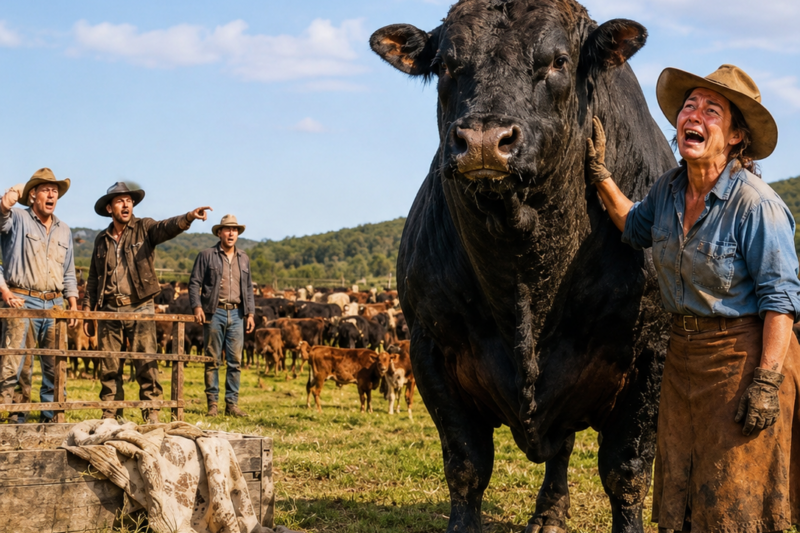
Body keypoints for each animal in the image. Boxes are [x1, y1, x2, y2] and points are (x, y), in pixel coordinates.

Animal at [370, 2, 675, 532]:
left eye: (558, 61)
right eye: (446, 64)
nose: (484, 140)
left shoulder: (651, 354)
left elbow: (627, 472)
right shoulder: (431, 348)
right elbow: (466, 466)